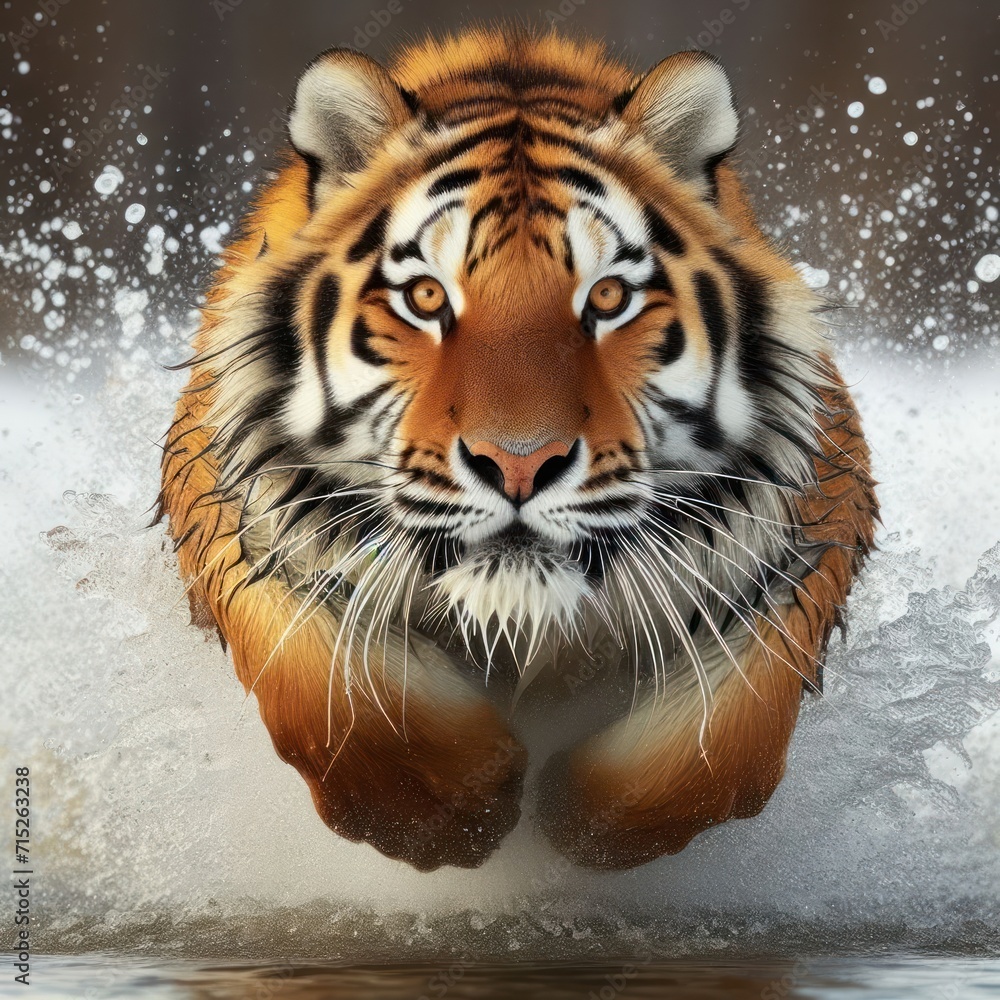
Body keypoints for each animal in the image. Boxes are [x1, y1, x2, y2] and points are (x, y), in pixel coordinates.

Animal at [158, 28, 878, 872]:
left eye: (608, 297)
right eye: (426, 296)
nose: (520, 464)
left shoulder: (802, 541)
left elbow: (722, 742)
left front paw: (579, 822)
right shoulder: (244, 524)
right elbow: (331, 695)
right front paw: (458, 812)